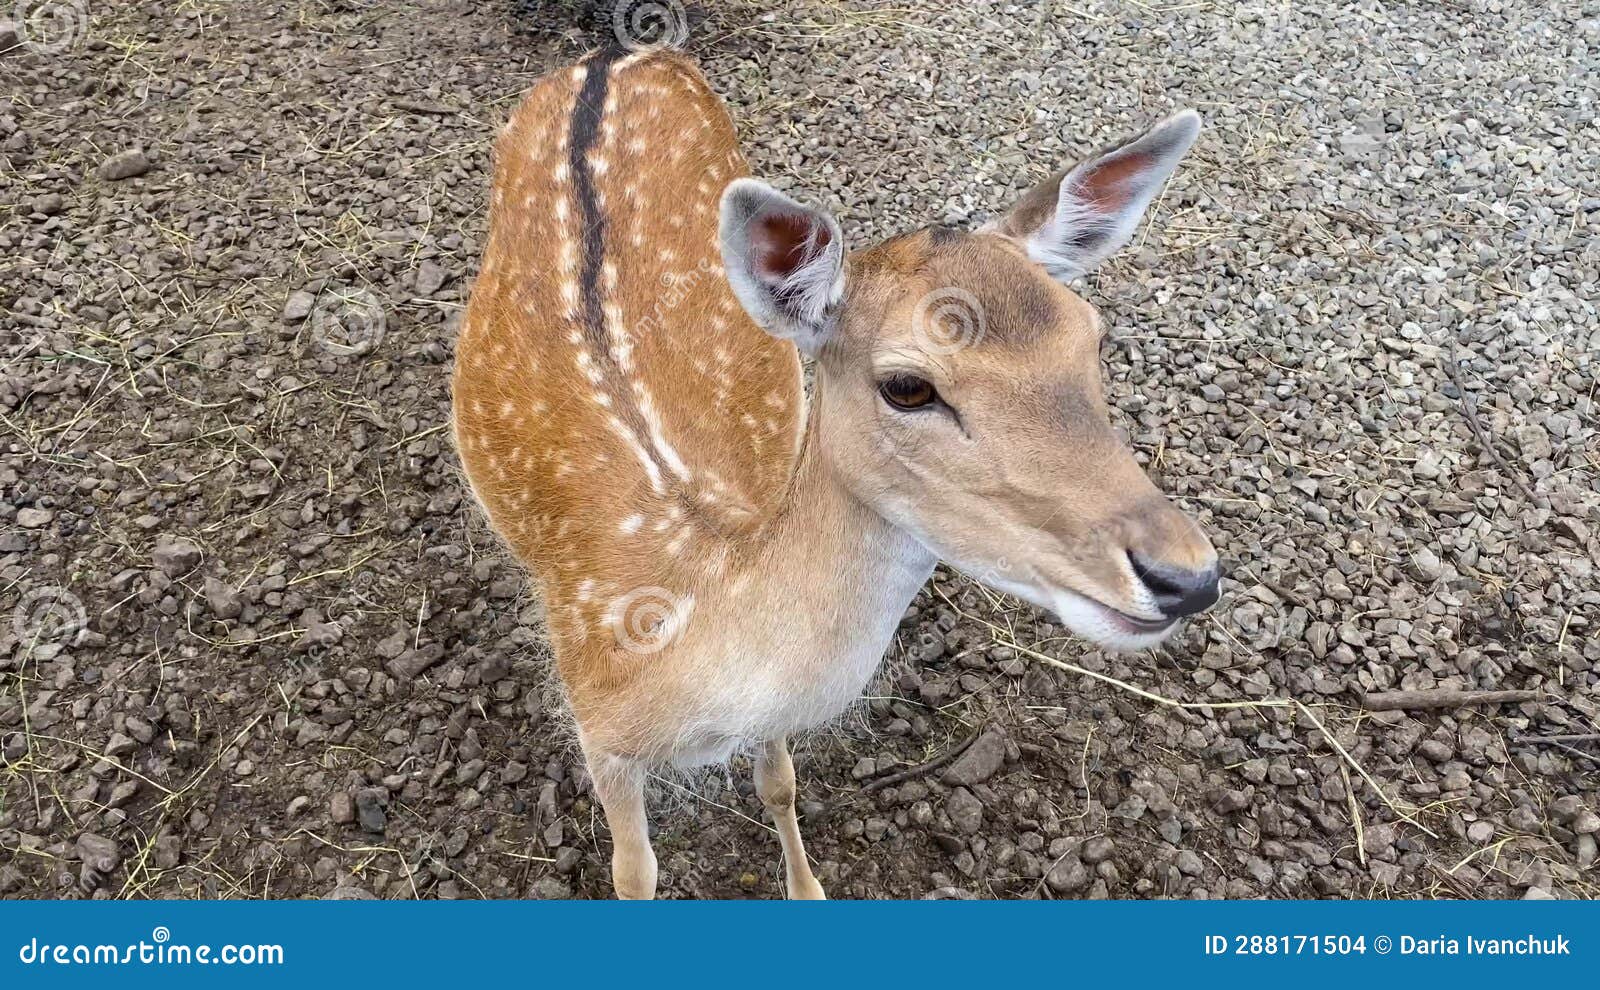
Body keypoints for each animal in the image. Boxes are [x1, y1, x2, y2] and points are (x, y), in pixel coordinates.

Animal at [457, 44, 1216, 895]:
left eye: (1091, 335)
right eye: (908, 385)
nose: (1186, 576)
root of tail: (613, 53)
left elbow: (779, 782)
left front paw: (807, 885)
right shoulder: (597, 728)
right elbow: (634, 872)